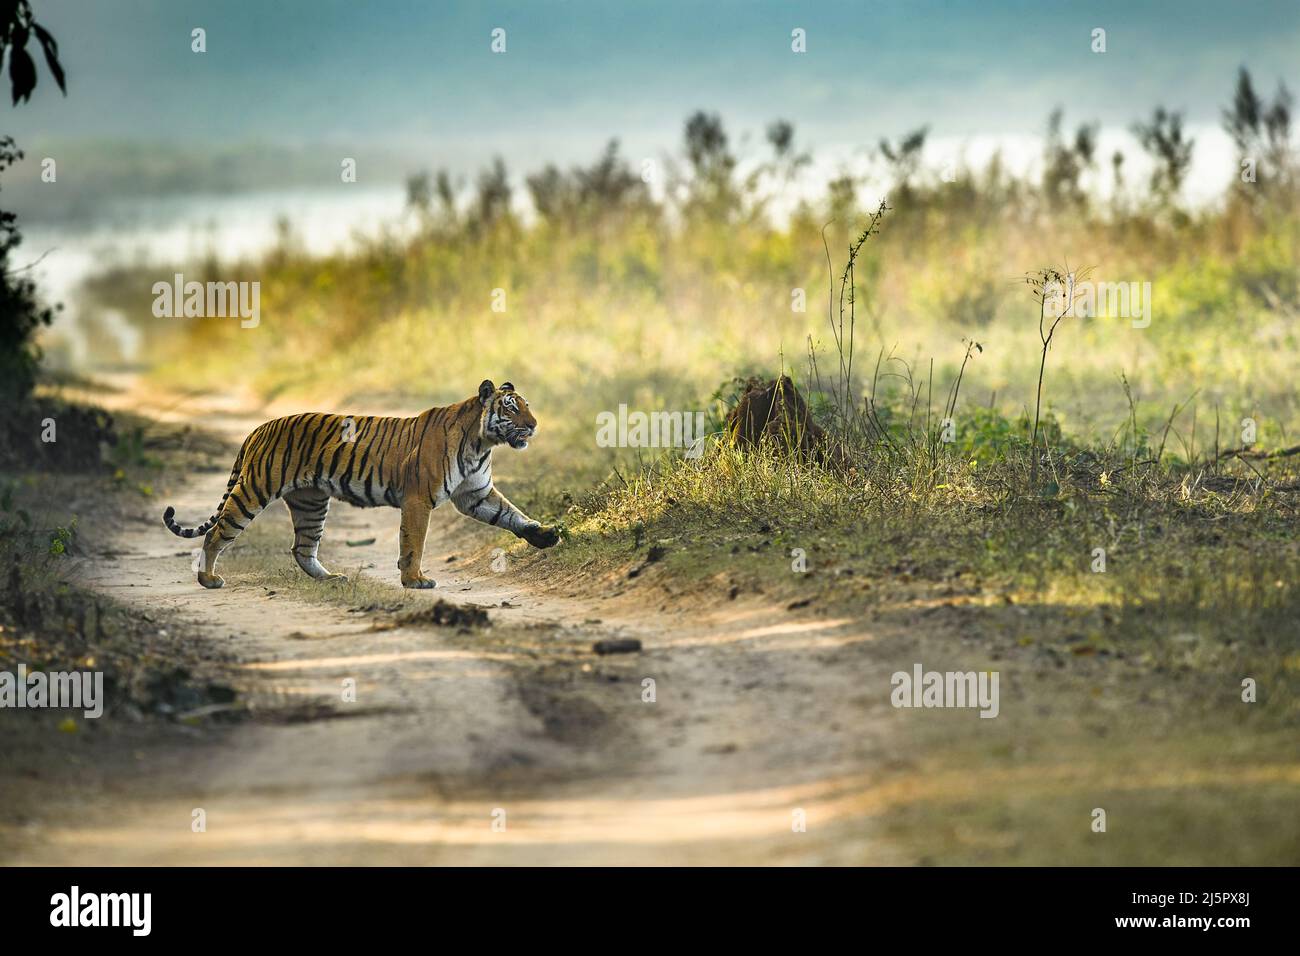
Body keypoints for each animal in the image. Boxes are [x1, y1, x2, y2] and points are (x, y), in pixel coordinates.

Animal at [162, 380, 560, 590]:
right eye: (510, 408)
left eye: (526, 406)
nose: (535, 424)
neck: (481, 443)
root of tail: (258, 427)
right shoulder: (418, 499)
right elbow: (414, 543)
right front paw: (415, 580)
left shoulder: (476, 495)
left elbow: (511, 515)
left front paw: (545, 536)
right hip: (254, 490)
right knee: (217, 533)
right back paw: (208, 579)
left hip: (311, 503)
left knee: (302, 548)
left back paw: (330, 578)